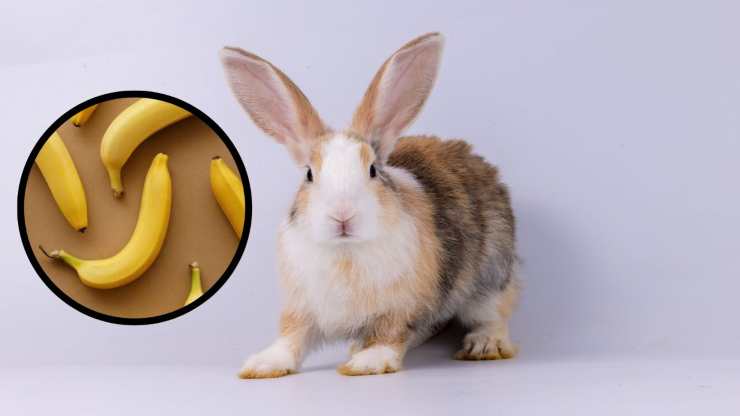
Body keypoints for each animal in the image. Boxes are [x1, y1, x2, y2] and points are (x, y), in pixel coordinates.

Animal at [220, 32, 520, 378]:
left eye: (373, 170)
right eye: (309, 174)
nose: (342, 215)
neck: (346, 251)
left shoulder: (400, 306)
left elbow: (389, 334)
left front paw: (366, 363)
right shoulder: (302, 308)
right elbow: (291, 338)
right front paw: (262, 365)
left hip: (491, 274)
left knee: (492, 314)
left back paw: (484, 346)